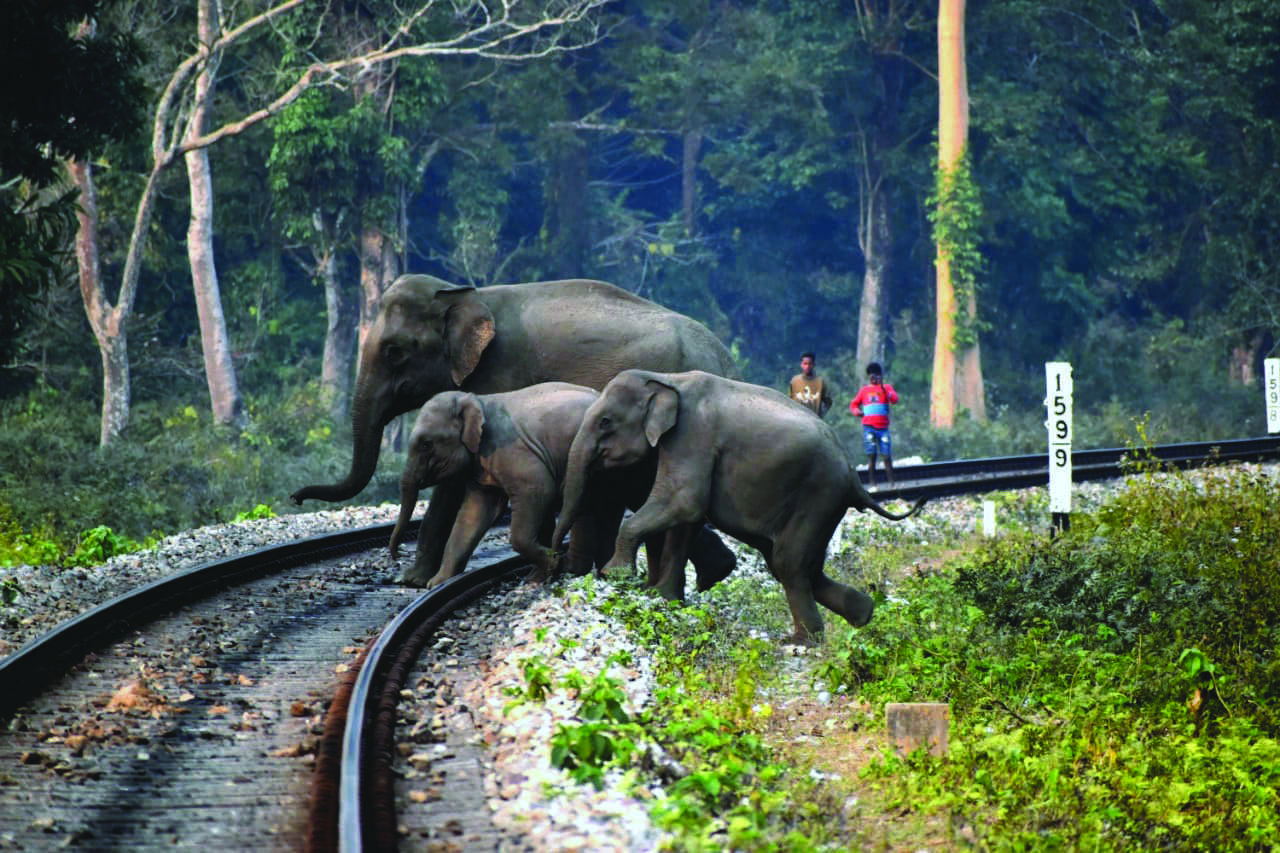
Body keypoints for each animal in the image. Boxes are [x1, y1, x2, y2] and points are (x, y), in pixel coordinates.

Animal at [289, 273, 738, 589]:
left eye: (395, 352)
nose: (295, 497)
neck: (467, 294)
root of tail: (724, 358)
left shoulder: (497, 374)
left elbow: (454, 483)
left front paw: (412, 580)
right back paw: (717, 572)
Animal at [552, 369, 926, 643]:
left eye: (605, 422)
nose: (555, 565)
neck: (666, 378)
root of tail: (853, 476)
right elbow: (686, 519)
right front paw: (661, 596)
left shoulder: (692, 435)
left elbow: (684, 500)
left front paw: (619, 577)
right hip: (821, 504)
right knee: (796, 564)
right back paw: (863, 614)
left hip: (819, 496)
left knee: (788, 563)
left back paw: (803, 641)